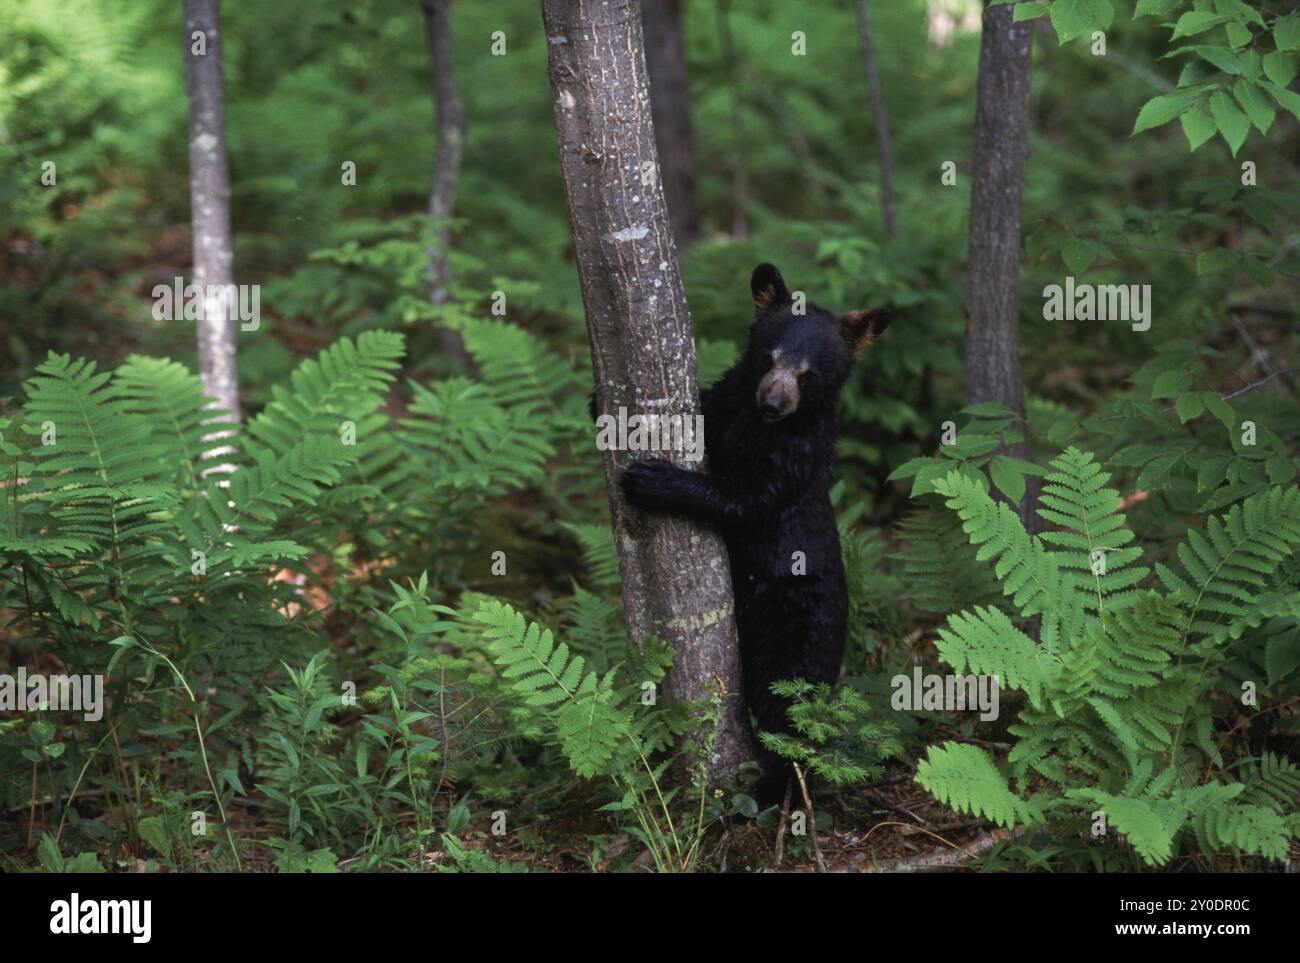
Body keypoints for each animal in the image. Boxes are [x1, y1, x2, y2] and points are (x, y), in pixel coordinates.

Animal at [619, 262, 890, 805]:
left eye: (809, 372)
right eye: (770, 355)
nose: (773, 401)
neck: (759, 425)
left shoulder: (793, 459)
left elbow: (744, 499)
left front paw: (654, 479)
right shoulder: (728, 404)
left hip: (794, 633)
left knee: (790, 714)